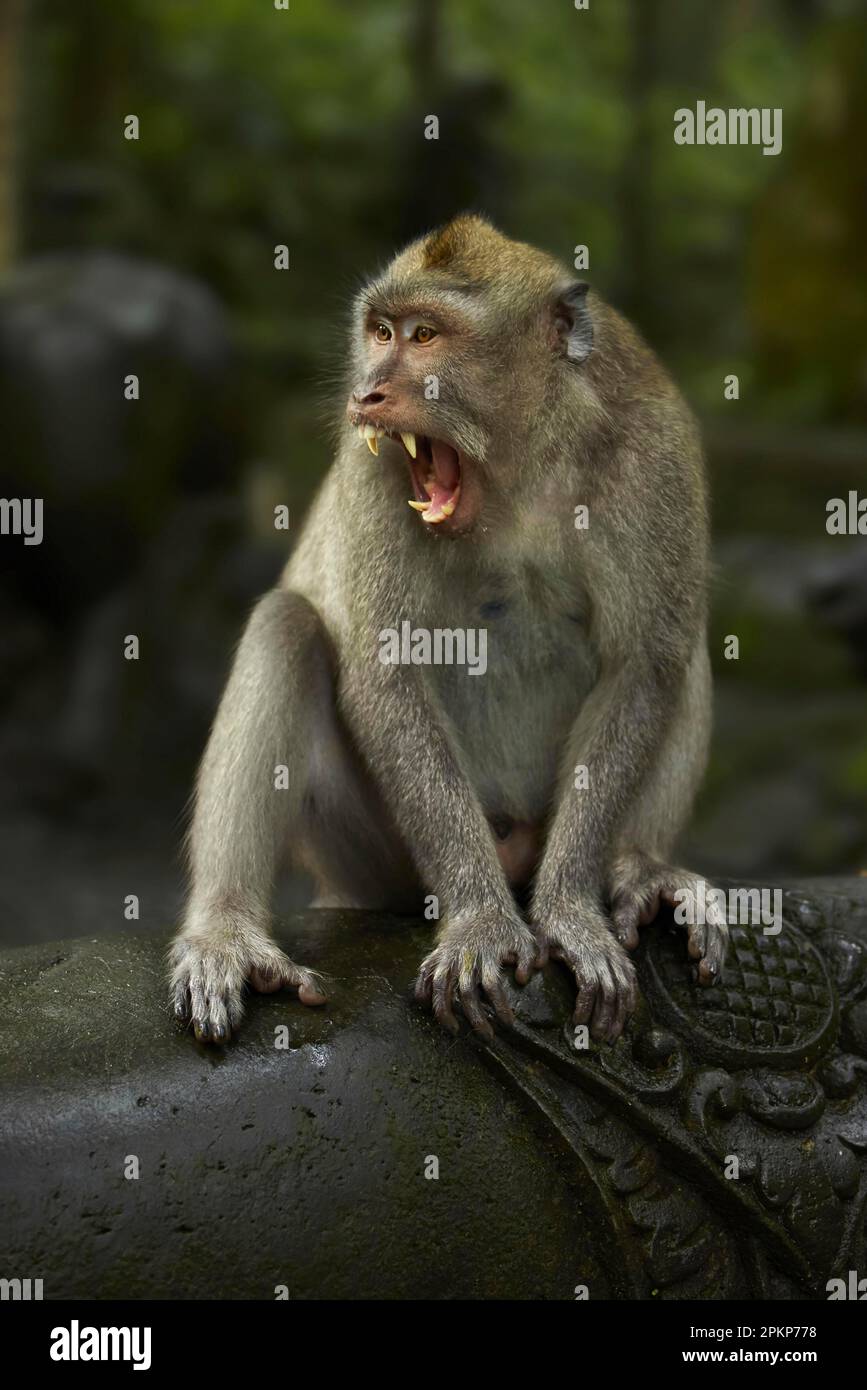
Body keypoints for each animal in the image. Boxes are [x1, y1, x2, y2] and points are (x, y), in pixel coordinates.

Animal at [169, 214, 728, 1046]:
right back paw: (226, 933)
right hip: (370, 859)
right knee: (286, 624)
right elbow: (386, 671)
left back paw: (640, 867)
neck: (519, 460)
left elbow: (639, 668)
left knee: (677, 651)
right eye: (380, 332)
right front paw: (479, 923)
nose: (367, 391)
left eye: (425, 335)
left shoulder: (654, 452)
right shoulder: (370, 470)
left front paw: (569, 910)